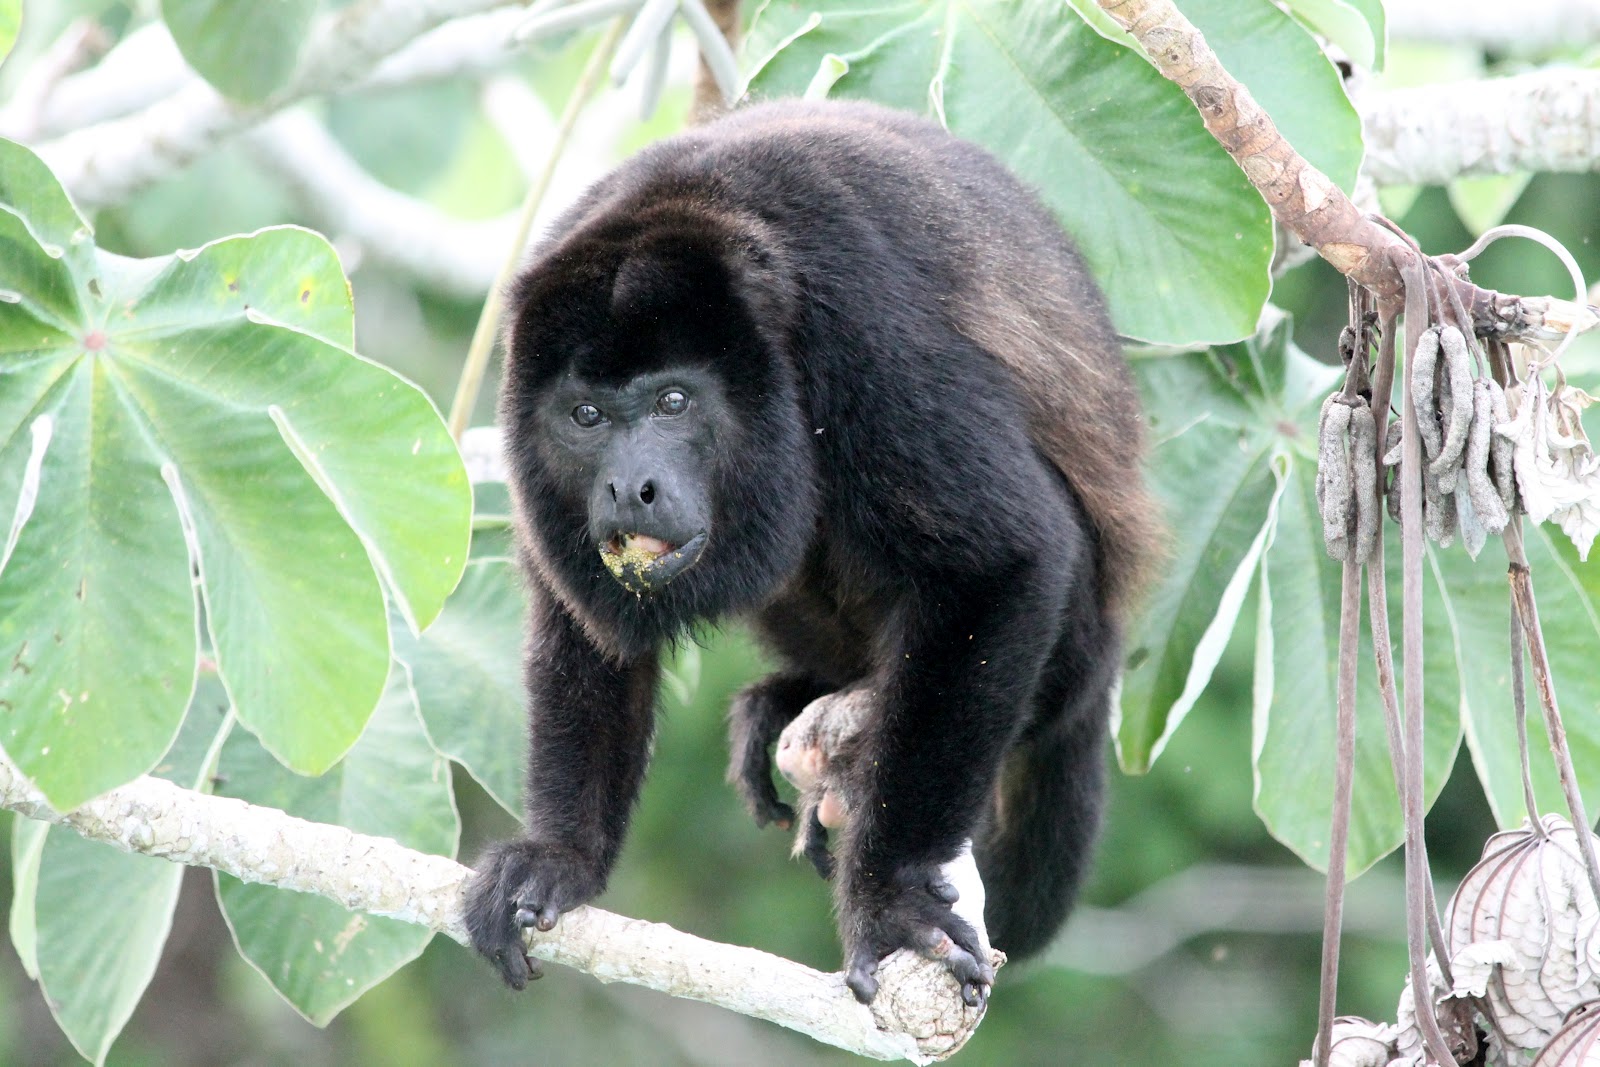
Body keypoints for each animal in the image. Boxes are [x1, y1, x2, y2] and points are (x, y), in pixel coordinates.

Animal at [464, 98, 1155, 1007]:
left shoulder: (857, 328)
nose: (627, 487)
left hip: (1074, 648)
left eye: (675, 401)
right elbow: (584, 629)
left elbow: (1004, 557)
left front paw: (891, 897)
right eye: (586, 415)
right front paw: (560, 857)